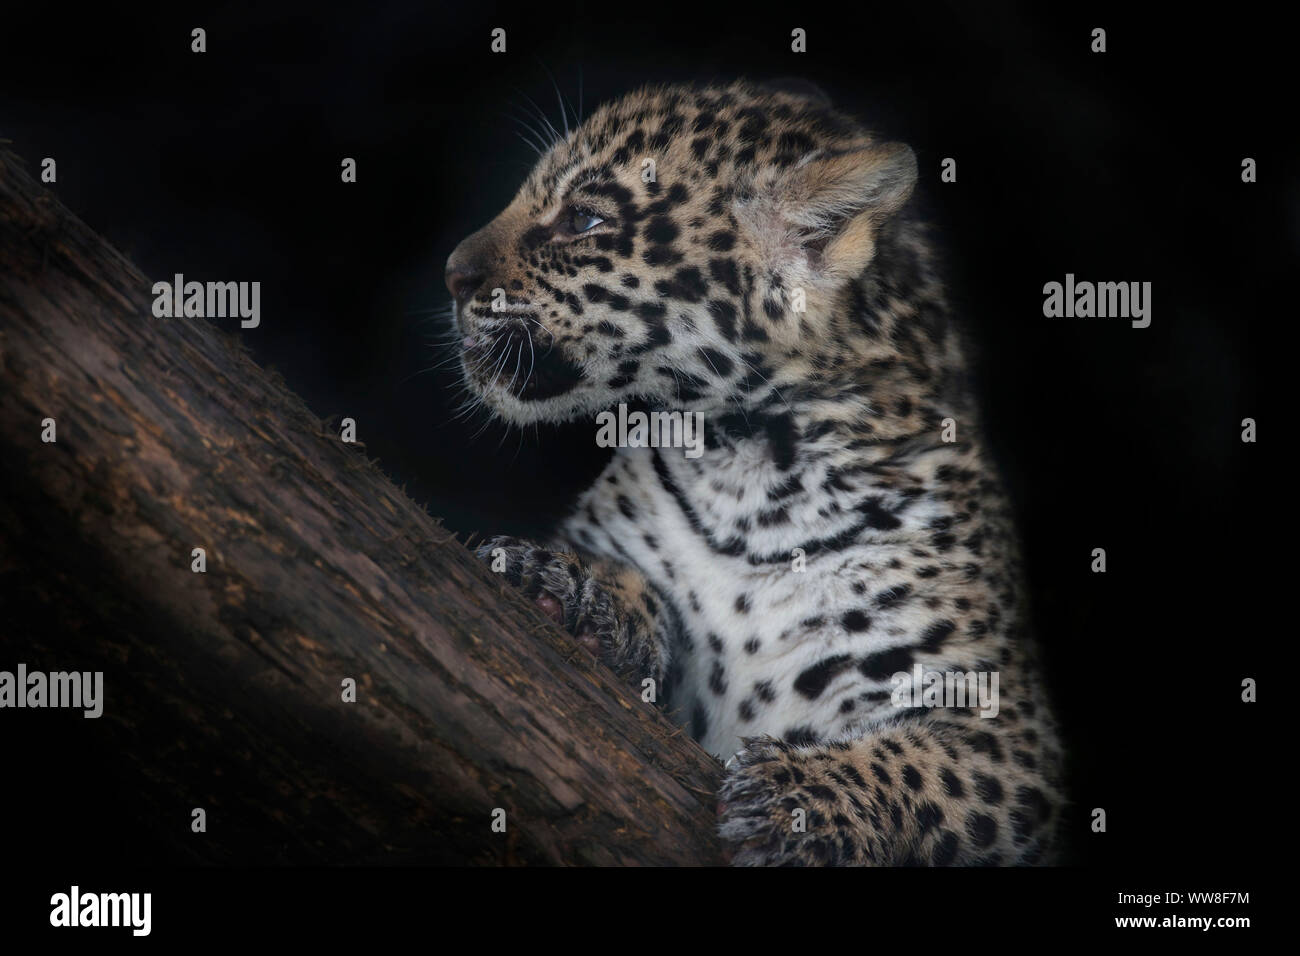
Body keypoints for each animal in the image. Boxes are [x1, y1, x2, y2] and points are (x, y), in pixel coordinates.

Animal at [444, 78, 1066, 865]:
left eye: (585, 219)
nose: (451, 273)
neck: (753, 476)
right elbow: (635, 582)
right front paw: (571, 588)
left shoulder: (1009, 736)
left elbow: (927, 768)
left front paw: (801, 799)